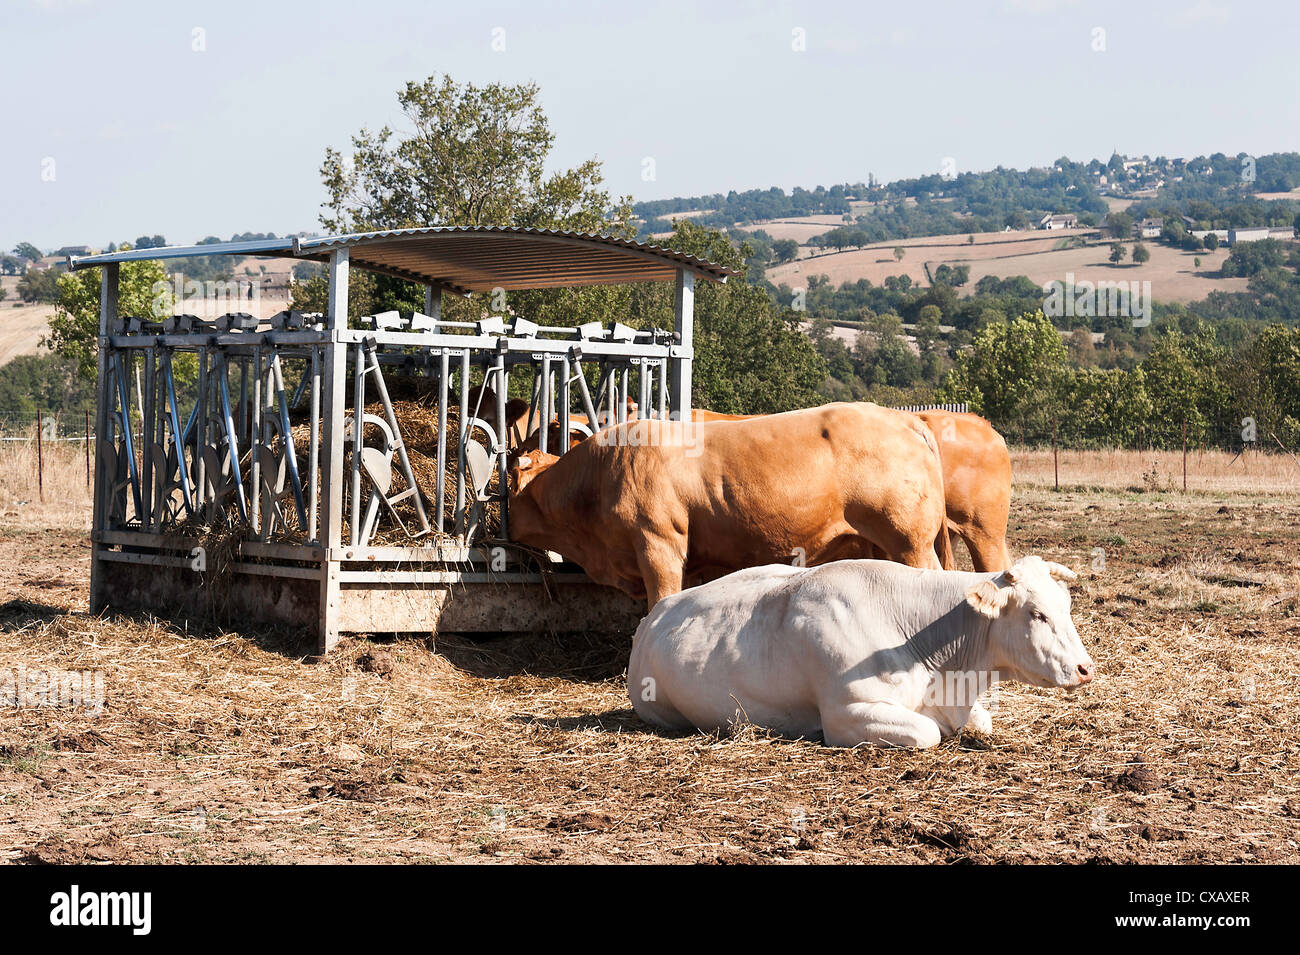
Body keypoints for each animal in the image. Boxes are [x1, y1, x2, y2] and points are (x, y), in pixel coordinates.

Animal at [628, 555, 1093, 748]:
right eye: (1037, 614)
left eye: (1066, 605)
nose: (1085, 668)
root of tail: (653, 615)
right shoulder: (846, 713)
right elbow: (928, 732)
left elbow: (982, 721)